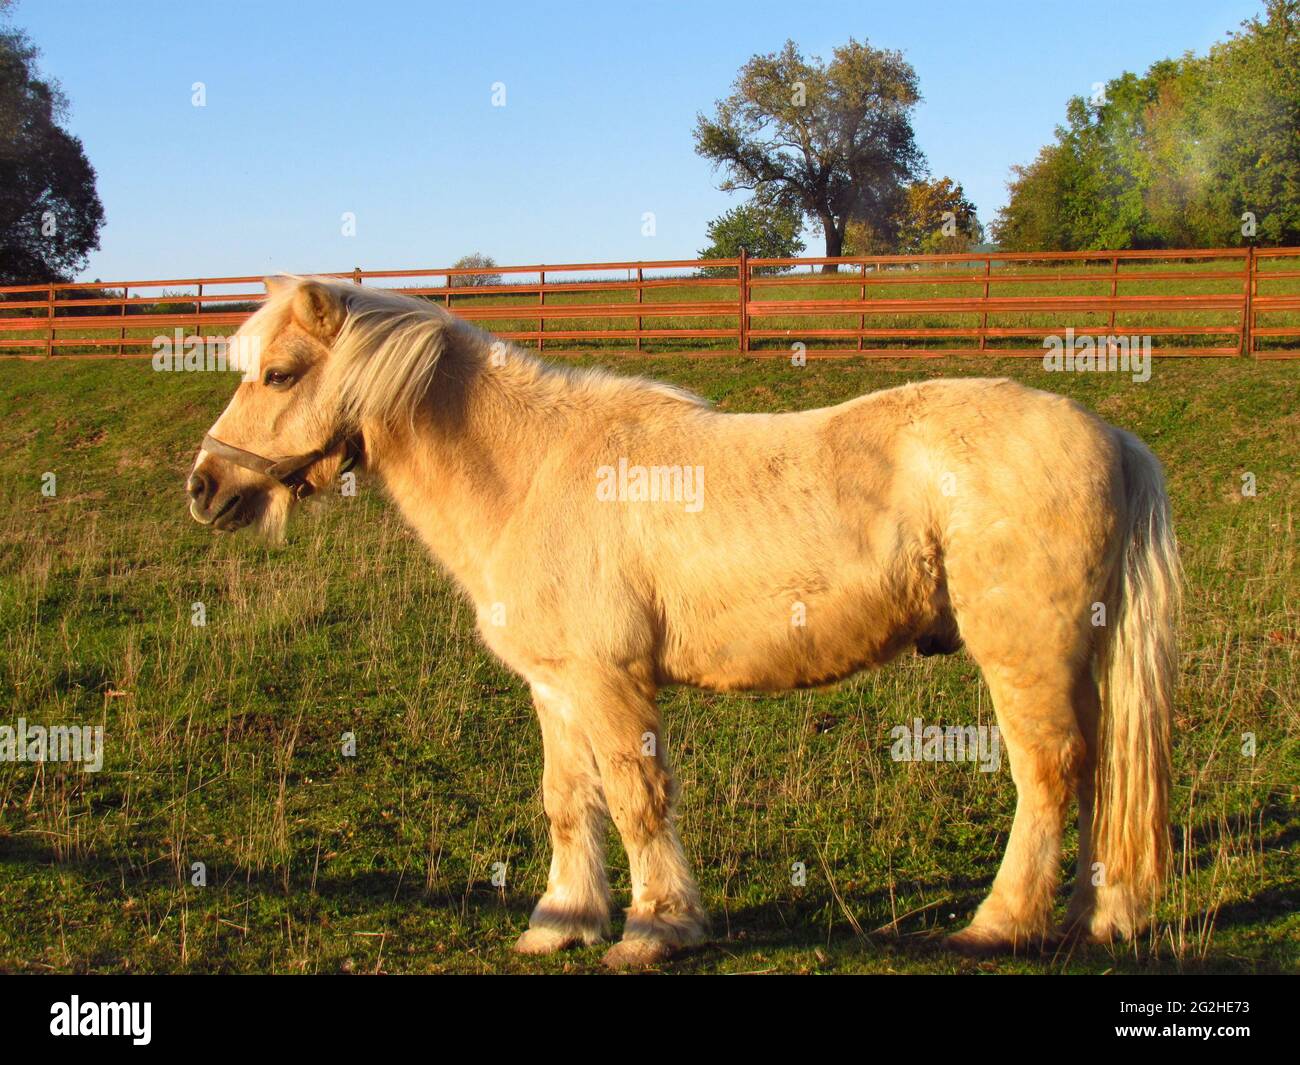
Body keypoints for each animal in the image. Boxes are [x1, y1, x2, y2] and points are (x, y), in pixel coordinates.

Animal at [187, 276, 1180, 968]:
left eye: (279, 374)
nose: (204, 485)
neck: (534, 472)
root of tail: (1111, 438)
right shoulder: (556, 688)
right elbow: (568, 801)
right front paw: (562, 921)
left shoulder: (610, 681)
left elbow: (636, 798)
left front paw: (654, 928)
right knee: (1100, 776)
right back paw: (1101, 913)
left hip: (1024, 655)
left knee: (1049, 775)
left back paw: (999, 923)